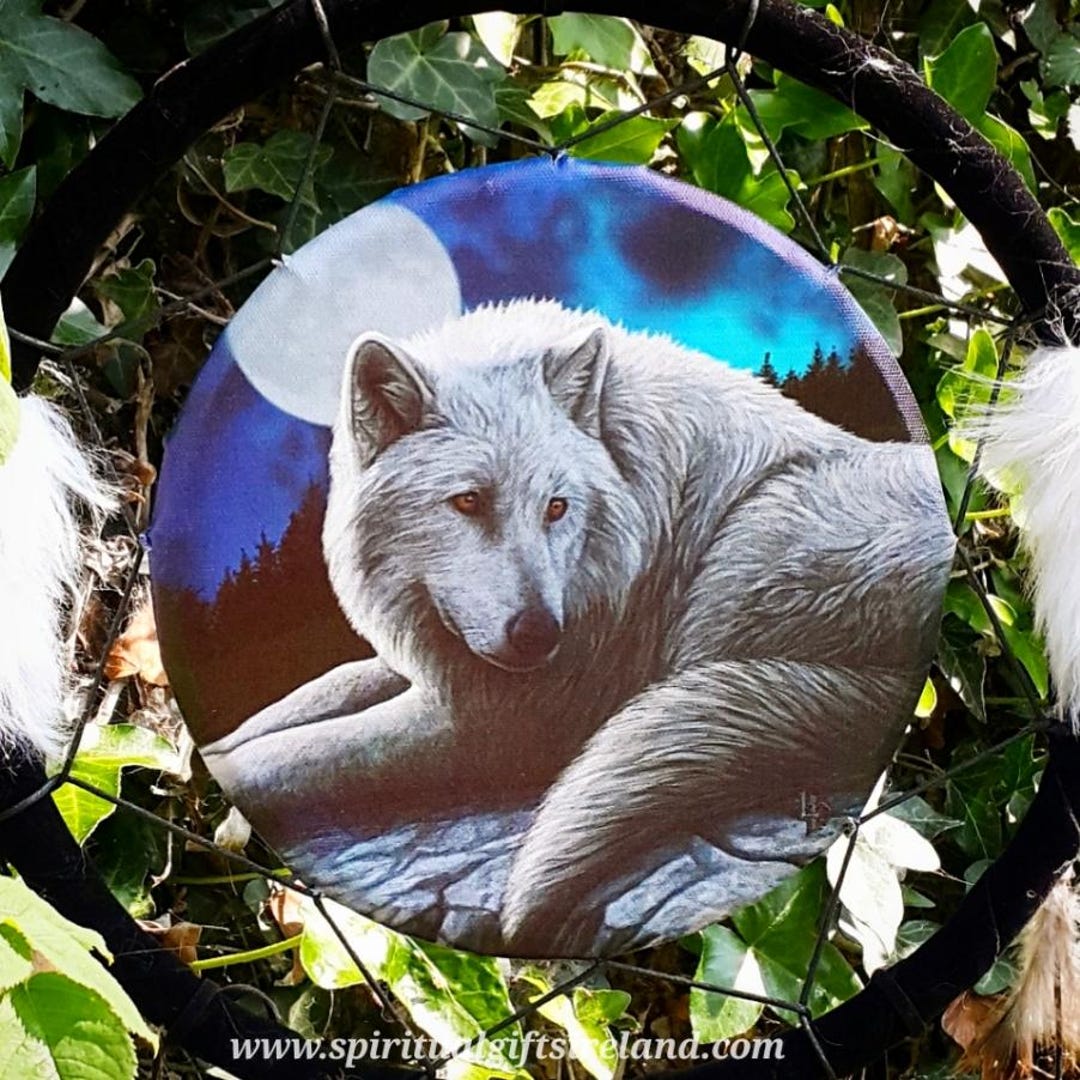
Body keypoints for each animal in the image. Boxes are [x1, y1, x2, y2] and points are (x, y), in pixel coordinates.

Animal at [203, 298, 954, 957]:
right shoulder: (441, 674)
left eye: (557, 507)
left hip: (748, 546)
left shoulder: (494, 726)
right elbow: (303, 702)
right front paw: (214, 759)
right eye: (468, 501)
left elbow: (286, 757)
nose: (541, 635)